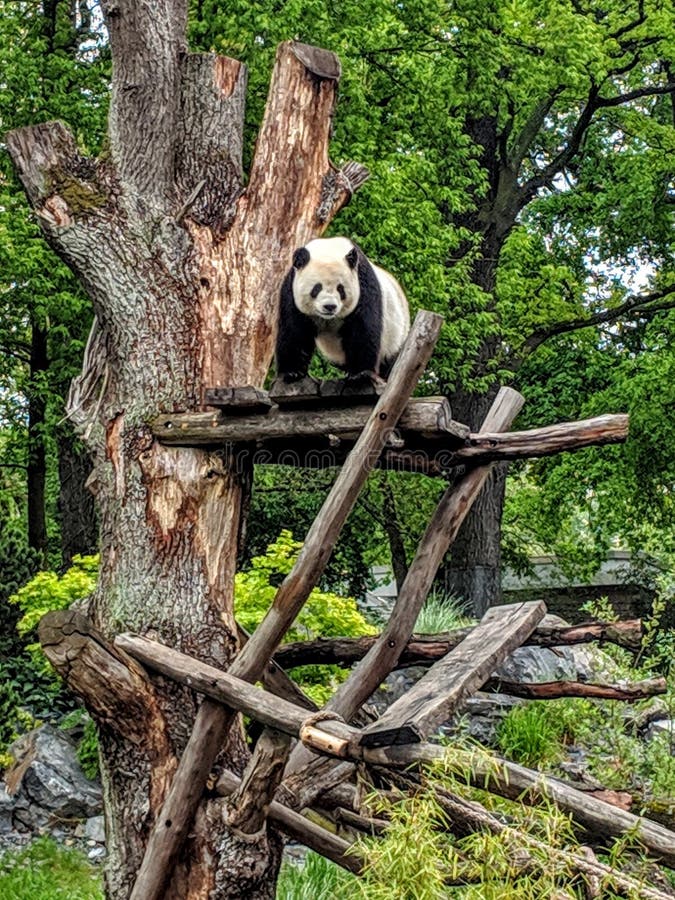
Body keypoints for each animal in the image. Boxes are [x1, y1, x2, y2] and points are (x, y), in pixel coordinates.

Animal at [275, 236, 410, 383]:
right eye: (317, 288)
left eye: (340, 289)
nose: (329, 306)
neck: (331, 248)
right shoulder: (291, 291)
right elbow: (294, 331)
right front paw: (293, 372)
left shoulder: (363, 287)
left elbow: (363, 329)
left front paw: (360, 374)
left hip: (397, 335)